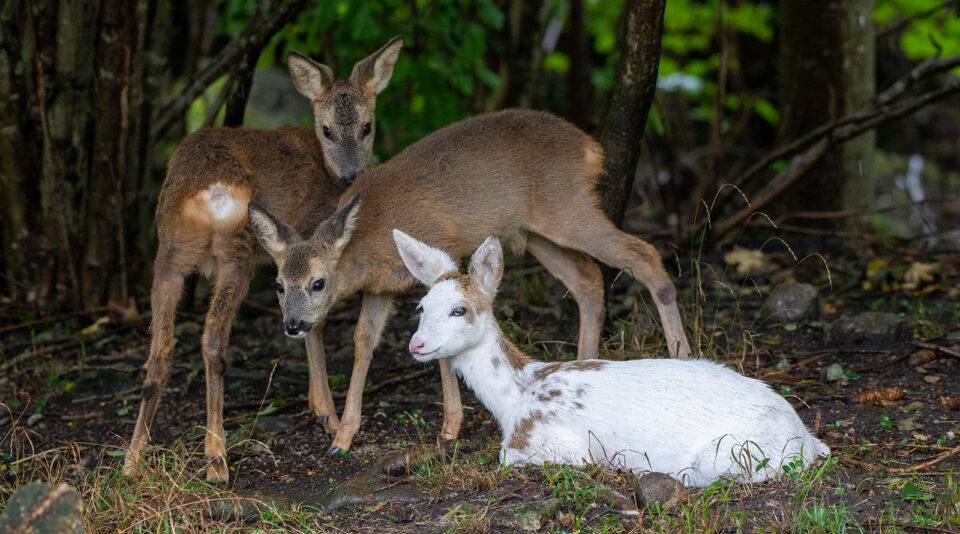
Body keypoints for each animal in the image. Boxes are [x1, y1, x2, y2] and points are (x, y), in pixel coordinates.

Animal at [123, 36, 403, 483]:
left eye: (367, 126)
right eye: (327, 129)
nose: (351, 177)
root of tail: (202, 189)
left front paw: (319, 406)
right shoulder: (305, 241)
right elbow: (313, 323)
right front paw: (326, 413)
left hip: (168, 254)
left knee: (161, 347)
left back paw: (132, 461)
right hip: (234, 254)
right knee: (212, 339)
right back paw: (216, 460)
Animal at [247, 108, 694, 458]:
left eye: (319, 283)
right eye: (279, 285)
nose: (294, 325)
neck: (371, 234)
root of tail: (591, 147)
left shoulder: (444, 248)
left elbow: (444, 347)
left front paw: (450, 427)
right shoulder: (380, 289)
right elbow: (362, 343)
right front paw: (342, 437)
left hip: (567, 209)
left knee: (644, 254)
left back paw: (682, 352)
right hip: (535, 233)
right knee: (586, 278)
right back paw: (583, 361)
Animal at [393, 230, 830, 487]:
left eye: (460, 310)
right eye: (421, 306)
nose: (417, 345)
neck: (516, 397)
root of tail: (804, 439)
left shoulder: (552, 442)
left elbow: (508, 456)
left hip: (730, 454)